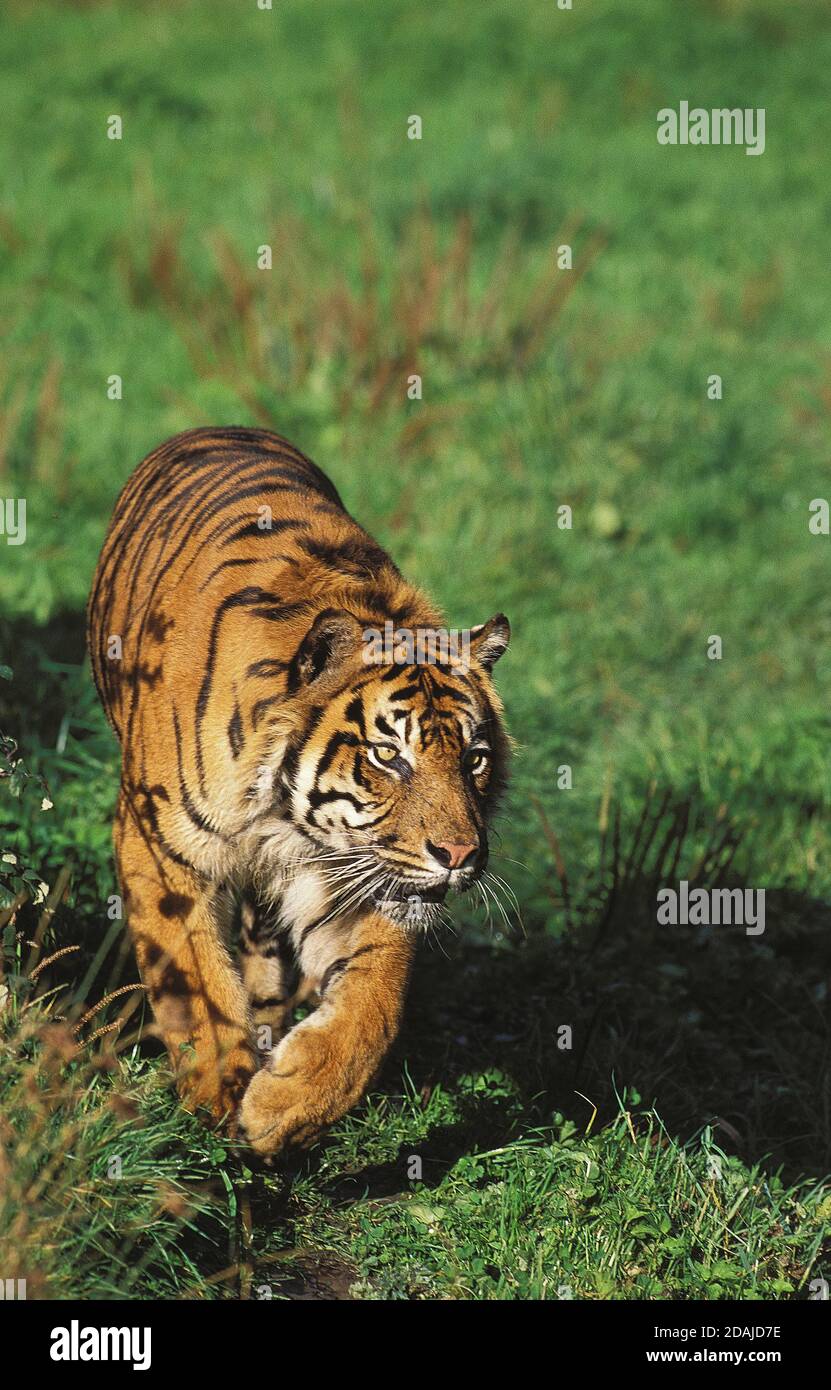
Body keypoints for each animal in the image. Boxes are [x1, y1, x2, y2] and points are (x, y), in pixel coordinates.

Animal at [87, 427, 510, 1155]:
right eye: (388, 755)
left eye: (475, 759)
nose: (458, 856)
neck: (284, 818)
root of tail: (220, 426)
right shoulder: (159, 848)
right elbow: (194, 983)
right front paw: (219, 1097)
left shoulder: (356, 879)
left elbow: (372, 1009)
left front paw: (282, 1107)